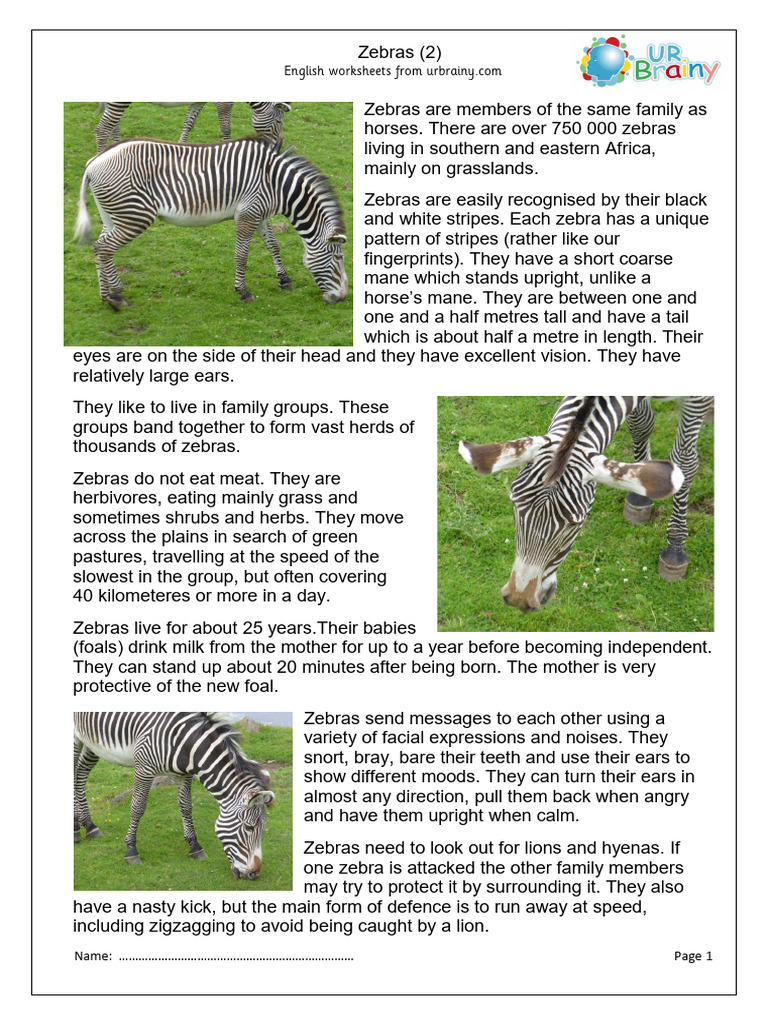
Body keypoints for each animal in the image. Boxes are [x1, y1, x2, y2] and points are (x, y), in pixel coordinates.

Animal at [73, 137, 348, 309]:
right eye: (338, 258)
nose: (343, 298)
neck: (277, 184)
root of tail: (94, 162)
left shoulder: (259, 213)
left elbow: (273, 245)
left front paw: (284, 279)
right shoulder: (248, 213)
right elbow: (242, 255)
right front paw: (243, 292)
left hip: (114, 216)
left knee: (99, 249)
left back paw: (105, 295)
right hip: (134, 216)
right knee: (103, 249)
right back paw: (116, 297)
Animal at [74, 712, 275, 879]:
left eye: (263, 828)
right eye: (249, 827)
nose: (255, 874)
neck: (184, 742)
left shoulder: (183, 775)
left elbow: (186, 807)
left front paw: (195, 847)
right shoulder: (144, 769)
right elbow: (138, 807)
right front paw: (131, 850)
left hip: (90, 742)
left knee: (79, 774)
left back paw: (88, 825)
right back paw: (77, 828)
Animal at [95, 102, 291, 154]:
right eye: (279, 122)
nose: (279, 148)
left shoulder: (199, 100)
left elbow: (189, 123)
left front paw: (180, 146)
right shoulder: (223, 102)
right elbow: (225, 127)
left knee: (113, 124)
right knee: (102, 128)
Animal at [459, 396, 713, 611]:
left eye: (575, 524)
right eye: (513, 504)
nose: (518, 599)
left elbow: (684, 460)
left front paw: (675, 545)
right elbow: (641, 425)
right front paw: (641, 495)